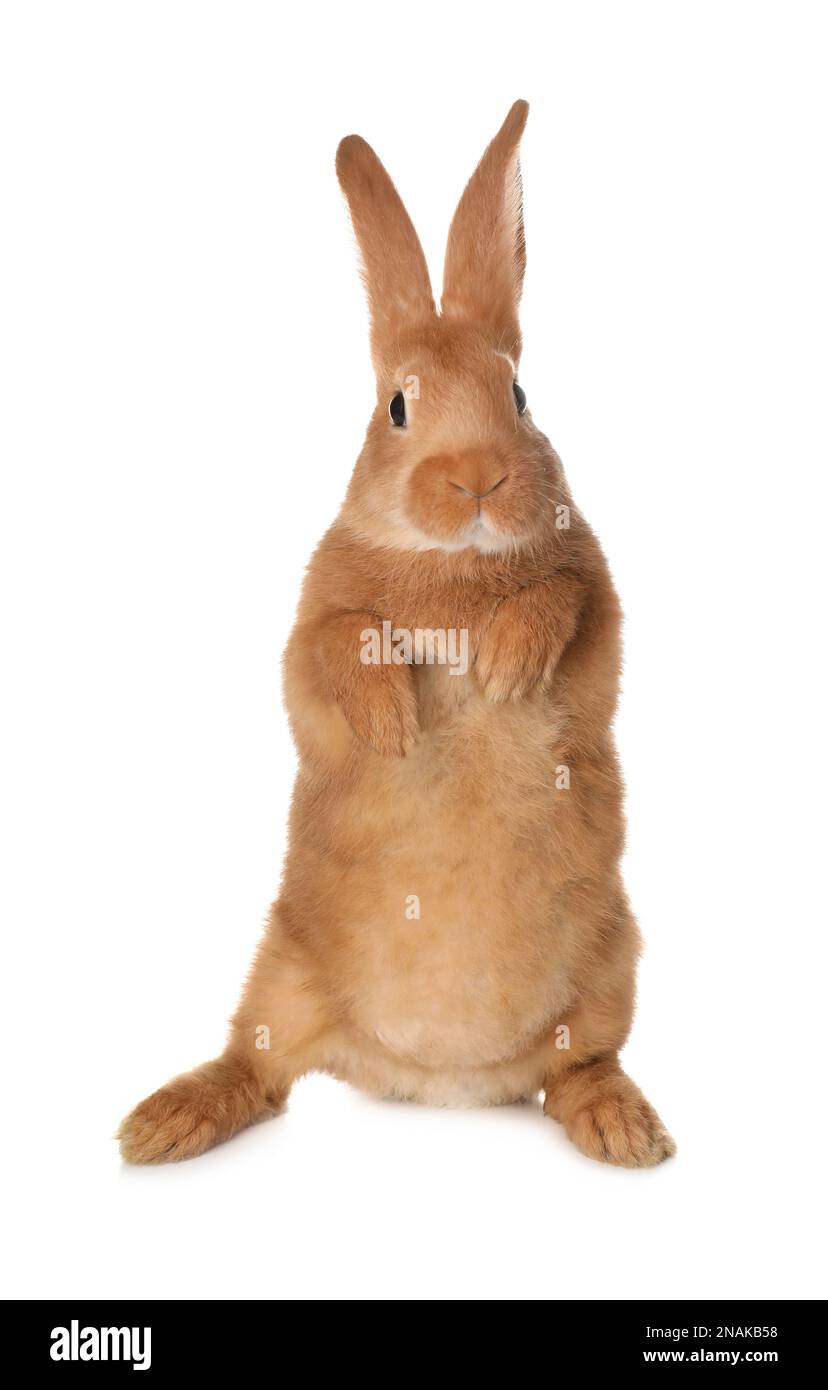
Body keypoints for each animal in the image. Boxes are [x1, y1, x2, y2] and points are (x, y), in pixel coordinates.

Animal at [118, 100, 675, 1168]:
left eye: (519, 395)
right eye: (399, 406)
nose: (477, 479)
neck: (453, 563)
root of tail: (437, 1080)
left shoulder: (599, 610)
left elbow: (563, 603)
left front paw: (504, 665)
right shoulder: (310, 629)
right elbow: (334, 647)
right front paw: (394, 722)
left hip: (611, 972)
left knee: (582, 1066)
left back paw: (624, 1129)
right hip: (281, 972)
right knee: (255, 1067)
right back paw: (161, 1124)